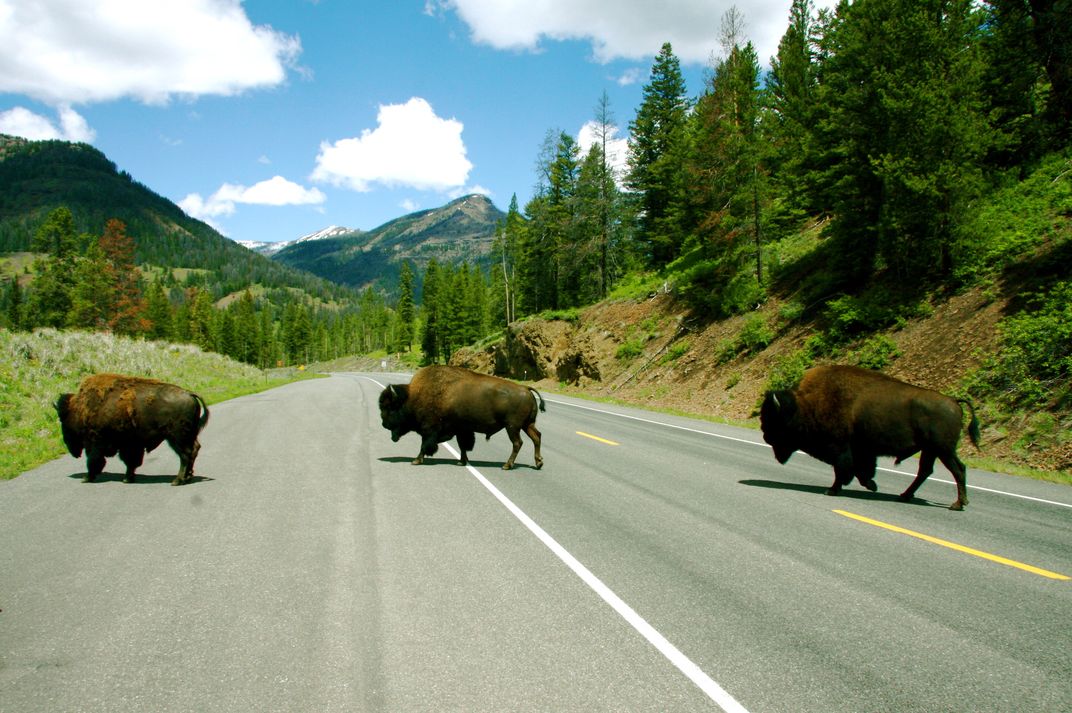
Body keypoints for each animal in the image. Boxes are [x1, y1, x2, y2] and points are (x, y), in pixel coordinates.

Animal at [55, 373, 210, 485]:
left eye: (63, 421)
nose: (67, 443)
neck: (80, 408)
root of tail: (189, 394)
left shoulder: (97, 442)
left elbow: (94, 460)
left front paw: (87, 478)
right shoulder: (131, 444)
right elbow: (131, 462)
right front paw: (127, 478)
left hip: (176, 438)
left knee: (185, 455)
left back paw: (177, 480)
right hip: (187, 436)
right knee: (194, 450)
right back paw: (187, 477)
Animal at [379, 365, 545, 470]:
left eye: (390, 408)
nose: (384, 424)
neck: (413, 396)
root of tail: (526, 388)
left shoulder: (430, 430)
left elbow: (424, 445)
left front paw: (416, 460)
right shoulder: (461, 430)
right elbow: (463, 446)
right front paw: (462, 462)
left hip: (513, 427)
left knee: (518, 443)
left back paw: (507, 465)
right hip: (527, 425)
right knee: (536, 437)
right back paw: (538, 463)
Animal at [760, 364, 980, 510]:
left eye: (774, 420)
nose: (764, 434)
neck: (805, 404)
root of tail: (953, 401)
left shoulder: (842, 449)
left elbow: (843, 470)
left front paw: (832, 490)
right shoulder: (861, 451)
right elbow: (860, 470)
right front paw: (871, 485)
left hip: (942, 450)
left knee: (957, 470)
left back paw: (957, 504)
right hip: (931, 450)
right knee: (926, 471)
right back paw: (904, 496)